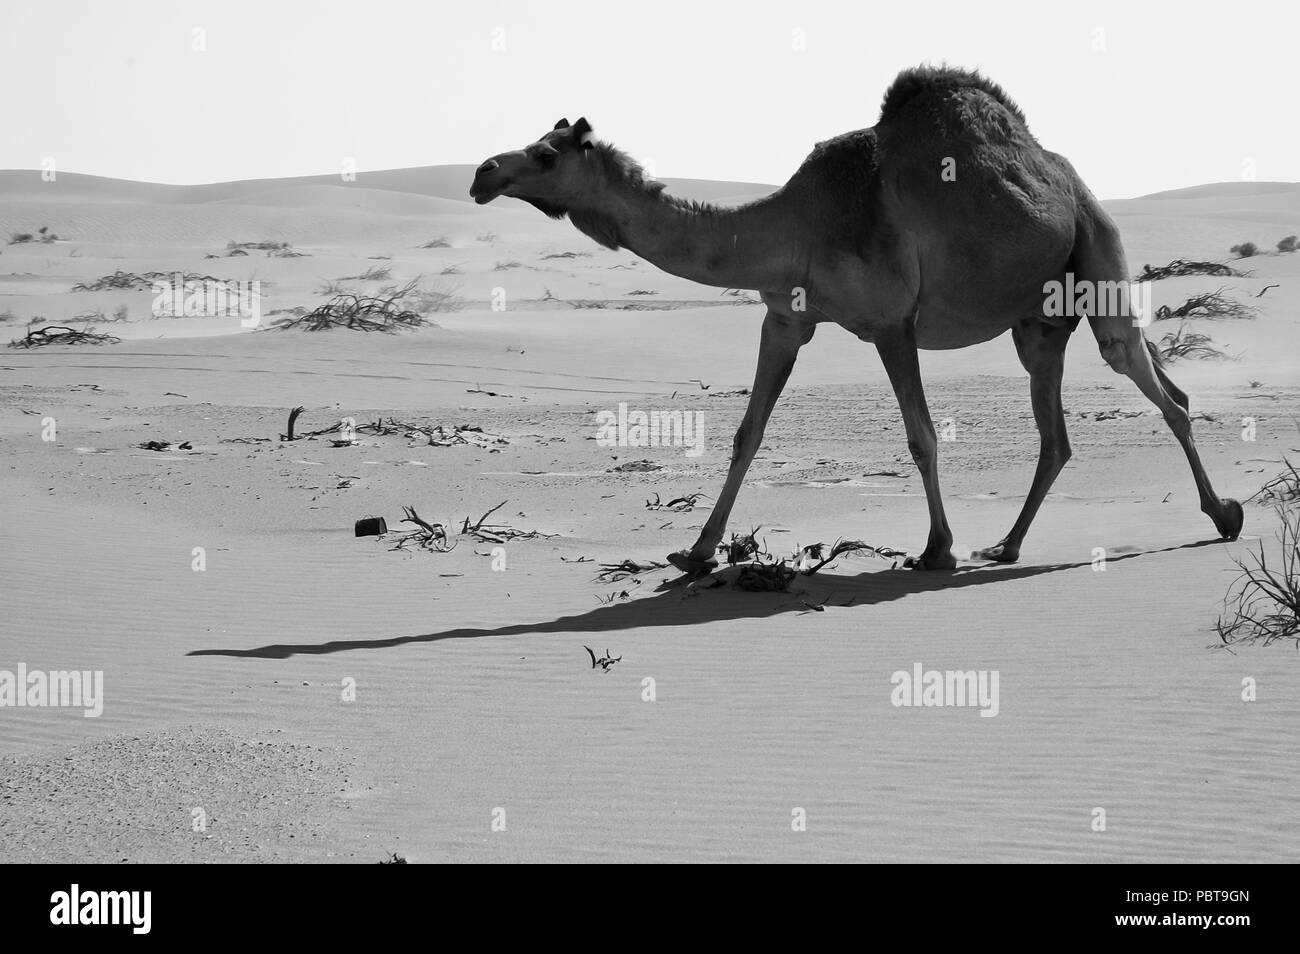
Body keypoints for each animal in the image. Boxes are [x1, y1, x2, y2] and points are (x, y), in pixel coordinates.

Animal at [469, 65, 1243, 575]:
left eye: (546, 153)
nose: (482, 172)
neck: (799, 222)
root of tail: (1067, 179)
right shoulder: (784, 319)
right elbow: (747, 434)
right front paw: (694, 552)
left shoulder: (892, 322)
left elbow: (922, 436)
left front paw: (936, 549)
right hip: (1038, 321)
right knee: (1060, 429)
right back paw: (1007, 545)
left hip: (1097, 250)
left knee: (1151, 381)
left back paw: (1224, 515)